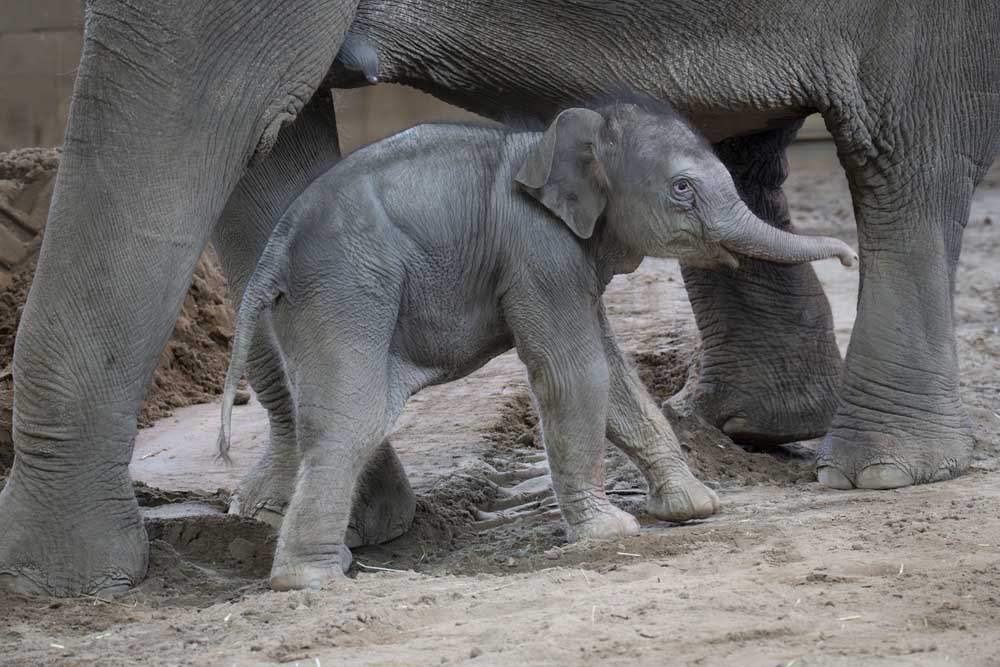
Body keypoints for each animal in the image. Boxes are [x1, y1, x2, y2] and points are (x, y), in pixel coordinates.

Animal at [216, 102, 856, 590]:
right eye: (681, 189)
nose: (850, 256)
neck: (557, 138)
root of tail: (278, 246)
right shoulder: (538, 249)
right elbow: (577, 372)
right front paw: (610, 532)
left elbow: (617, 376)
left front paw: (695, 507)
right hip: (348, 286)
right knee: (352, 418)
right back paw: (311, 581)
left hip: (308, 305)